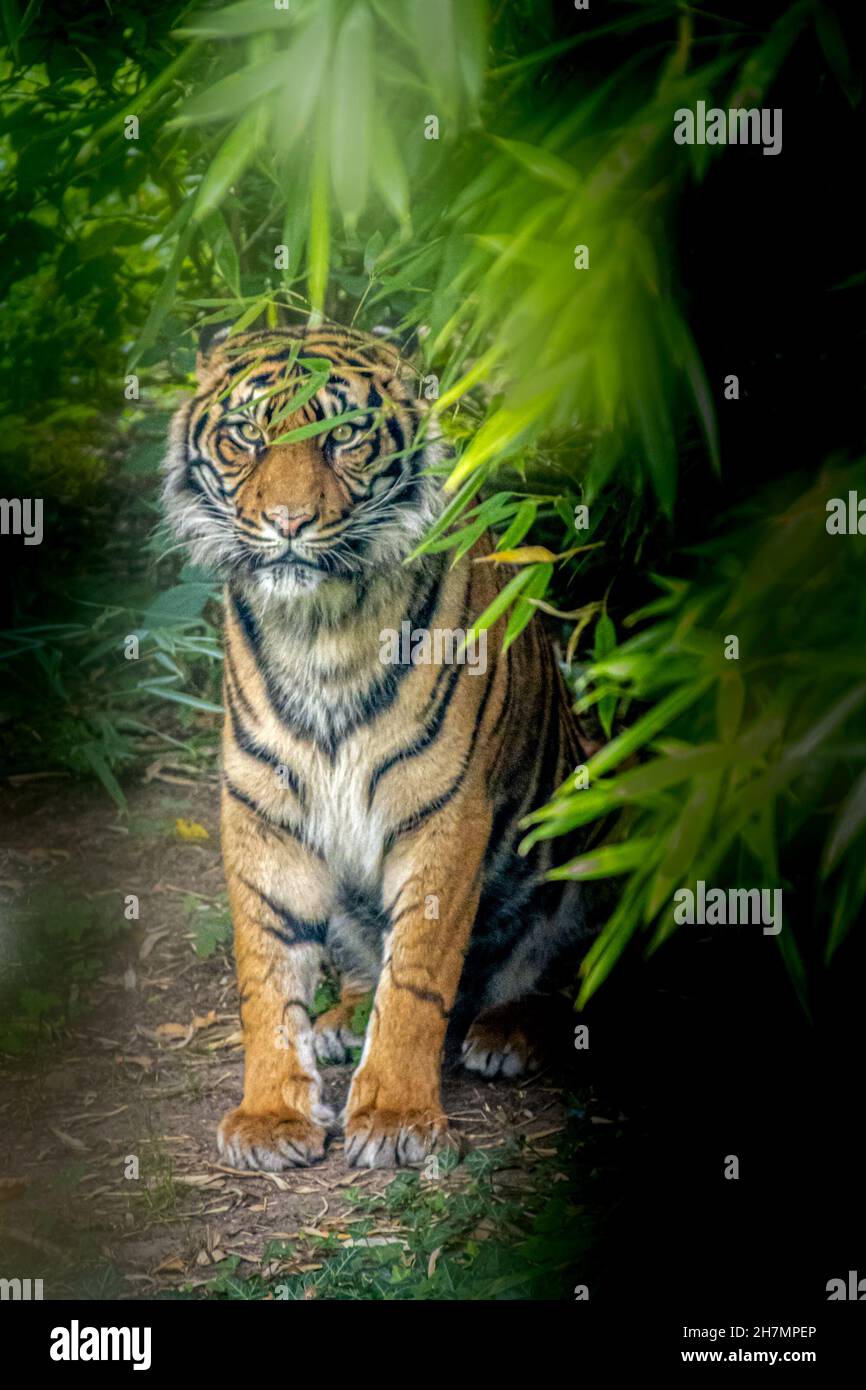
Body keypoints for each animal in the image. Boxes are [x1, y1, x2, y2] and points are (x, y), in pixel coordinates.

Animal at [163, 322, 594, 1170]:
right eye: (248, 436)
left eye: (343, 438)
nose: (288, 521)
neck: (318, 629)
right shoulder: (262, 807)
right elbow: (266, 975)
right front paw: (270, 1117)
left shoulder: (443, 808)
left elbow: (419, 977)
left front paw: (395, 1116)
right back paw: (340, 1022)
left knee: (558, 968)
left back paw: (507, 1030)